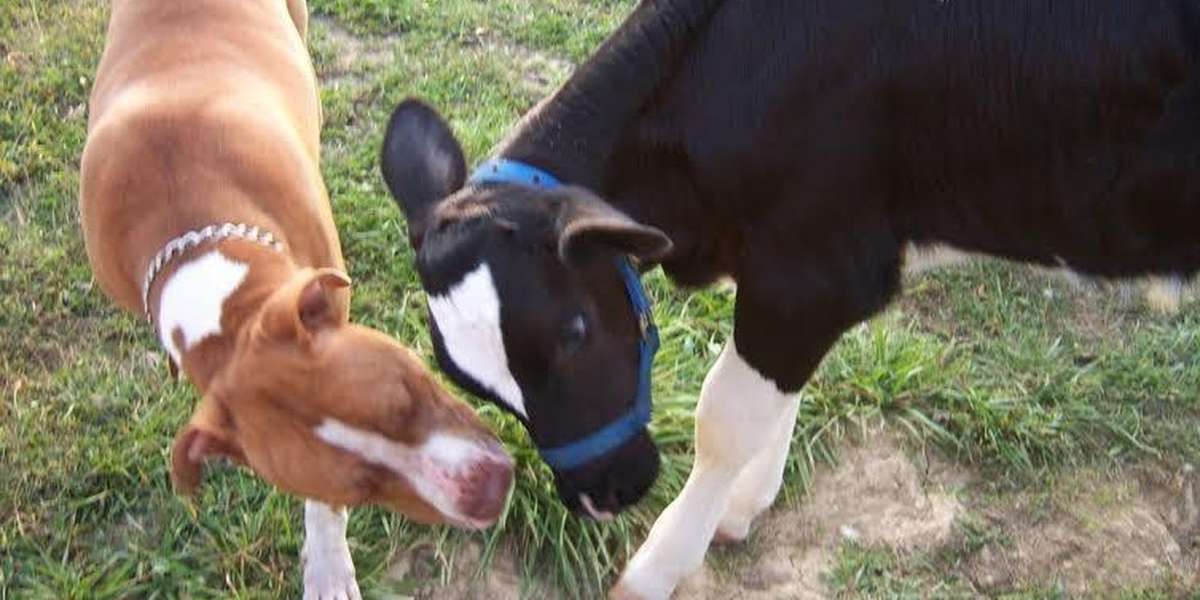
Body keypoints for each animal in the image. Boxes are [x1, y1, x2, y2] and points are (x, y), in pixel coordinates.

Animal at [379, 0, 1200, 597]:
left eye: (573, 331)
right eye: (464, 380)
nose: (603, 495)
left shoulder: (815, 268)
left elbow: (725, 420)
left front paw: (657, 567)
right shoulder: (801, 264)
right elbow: (779, 391)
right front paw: (746, 502)